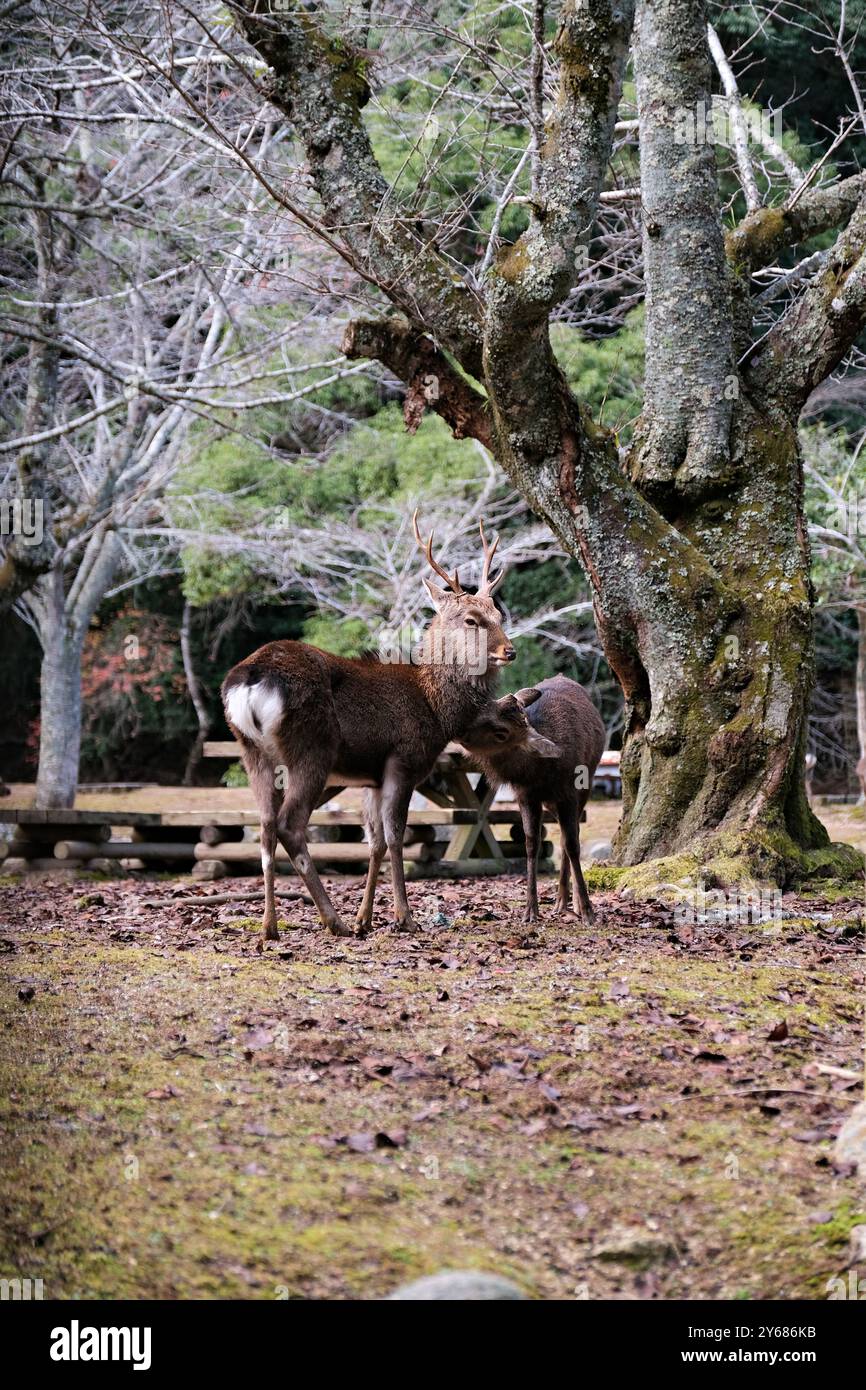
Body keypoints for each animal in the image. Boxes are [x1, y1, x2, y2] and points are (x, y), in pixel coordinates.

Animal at [222, 513, 521, 941]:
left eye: (499, 616)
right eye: (471, 619)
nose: (508, 650)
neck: (435, 707)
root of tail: (248, 679)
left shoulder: (371, 777)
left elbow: (374, 841)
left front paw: (367, 917)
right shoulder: (403, 759)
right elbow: (395, 837)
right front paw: (403, 917)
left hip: (252, 752)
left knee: (263, 828)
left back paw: (270, 927)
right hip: (311, 749)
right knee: (289, 826)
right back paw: (333, 920)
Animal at [459, 674, 606, 924]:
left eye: (502, 733)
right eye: (487, 708)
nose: (460, 729)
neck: (537, 774)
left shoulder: (569, 793)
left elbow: (572, 844)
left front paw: (588, 911)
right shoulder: (526, 796)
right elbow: (530, 844)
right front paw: (530, 910)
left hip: (586, 785)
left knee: (570, 836)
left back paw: (571, 902)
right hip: (551, 803)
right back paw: (560, 901)